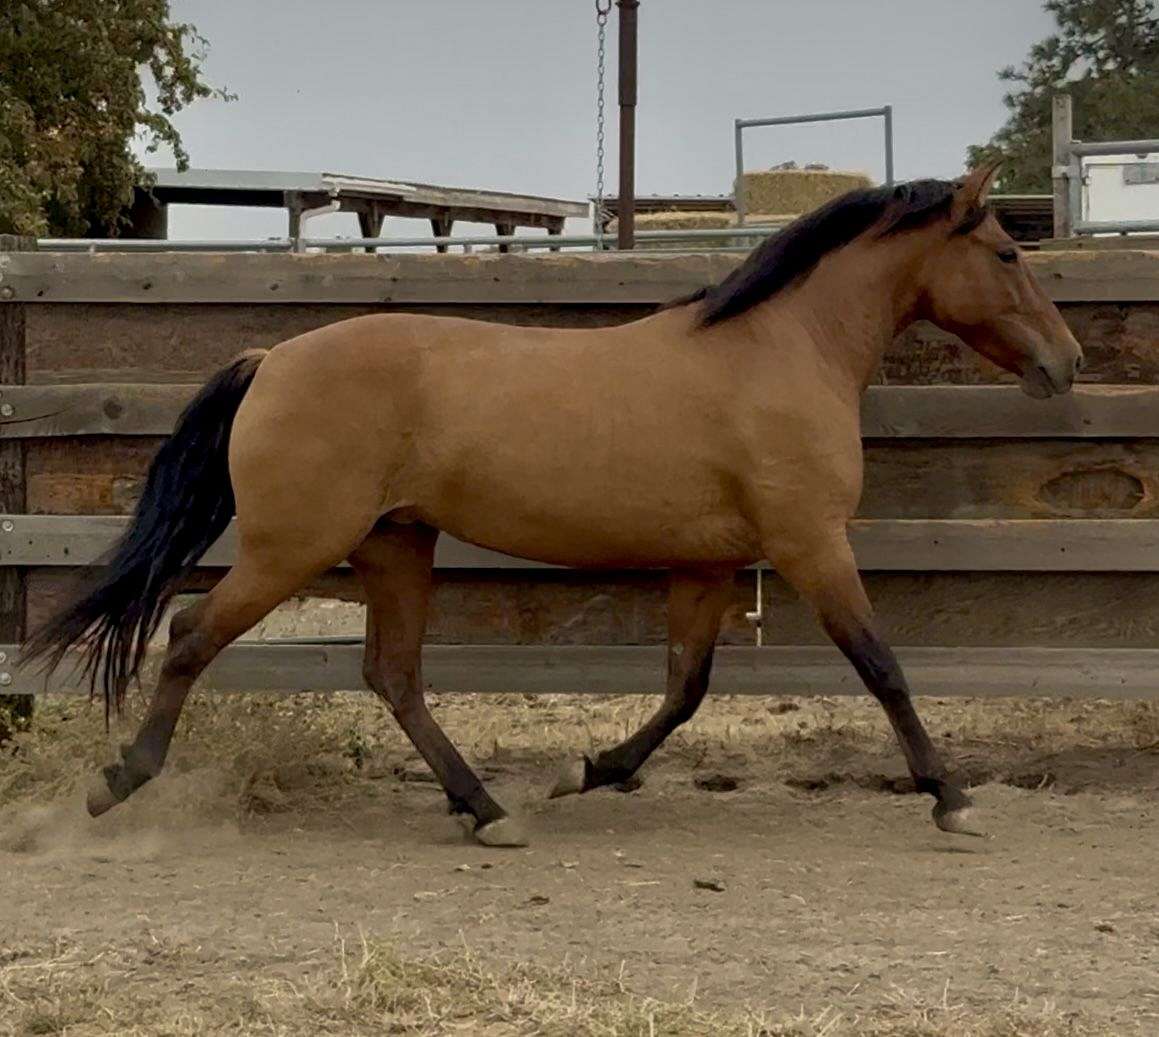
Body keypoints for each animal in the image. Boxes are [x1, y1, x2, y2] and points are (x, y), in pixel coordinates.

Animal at [23, 162, 1082, 847]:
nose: (1064, 364)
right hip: (294, 548)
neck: (780, 350)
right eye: (1004, 254)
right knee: (192, 633)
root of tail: (272, 359)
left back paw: (487, 810)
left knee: (392, 675)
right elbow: (881, 667)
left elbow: (684, 689)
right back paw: (116, 785)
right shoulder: (810, 543)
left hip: (395, 544)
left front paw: (590, 769)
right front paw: (951, 798)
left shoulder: (705, 562)